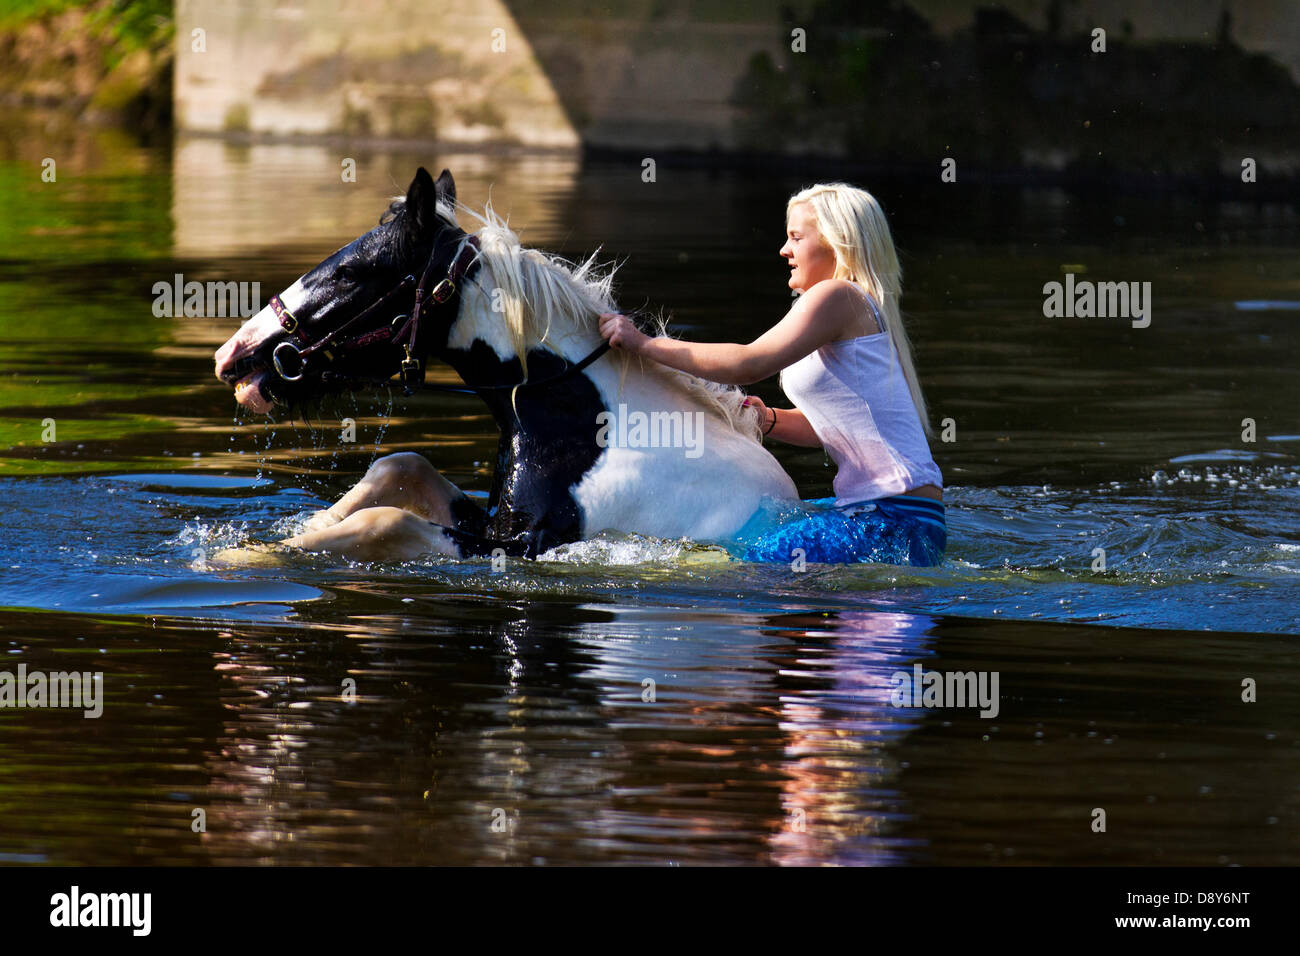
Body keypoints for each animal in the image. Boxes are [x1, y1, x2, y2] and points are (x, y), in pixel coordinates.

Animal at [213, 167, 797, 562]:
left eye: (351, 273)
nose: (234, 356)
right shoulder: (494, 525)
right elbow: (400, 466)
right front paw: (292, 531)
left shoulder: (522, 548)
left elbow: (383, 522)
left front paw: (238, 555)